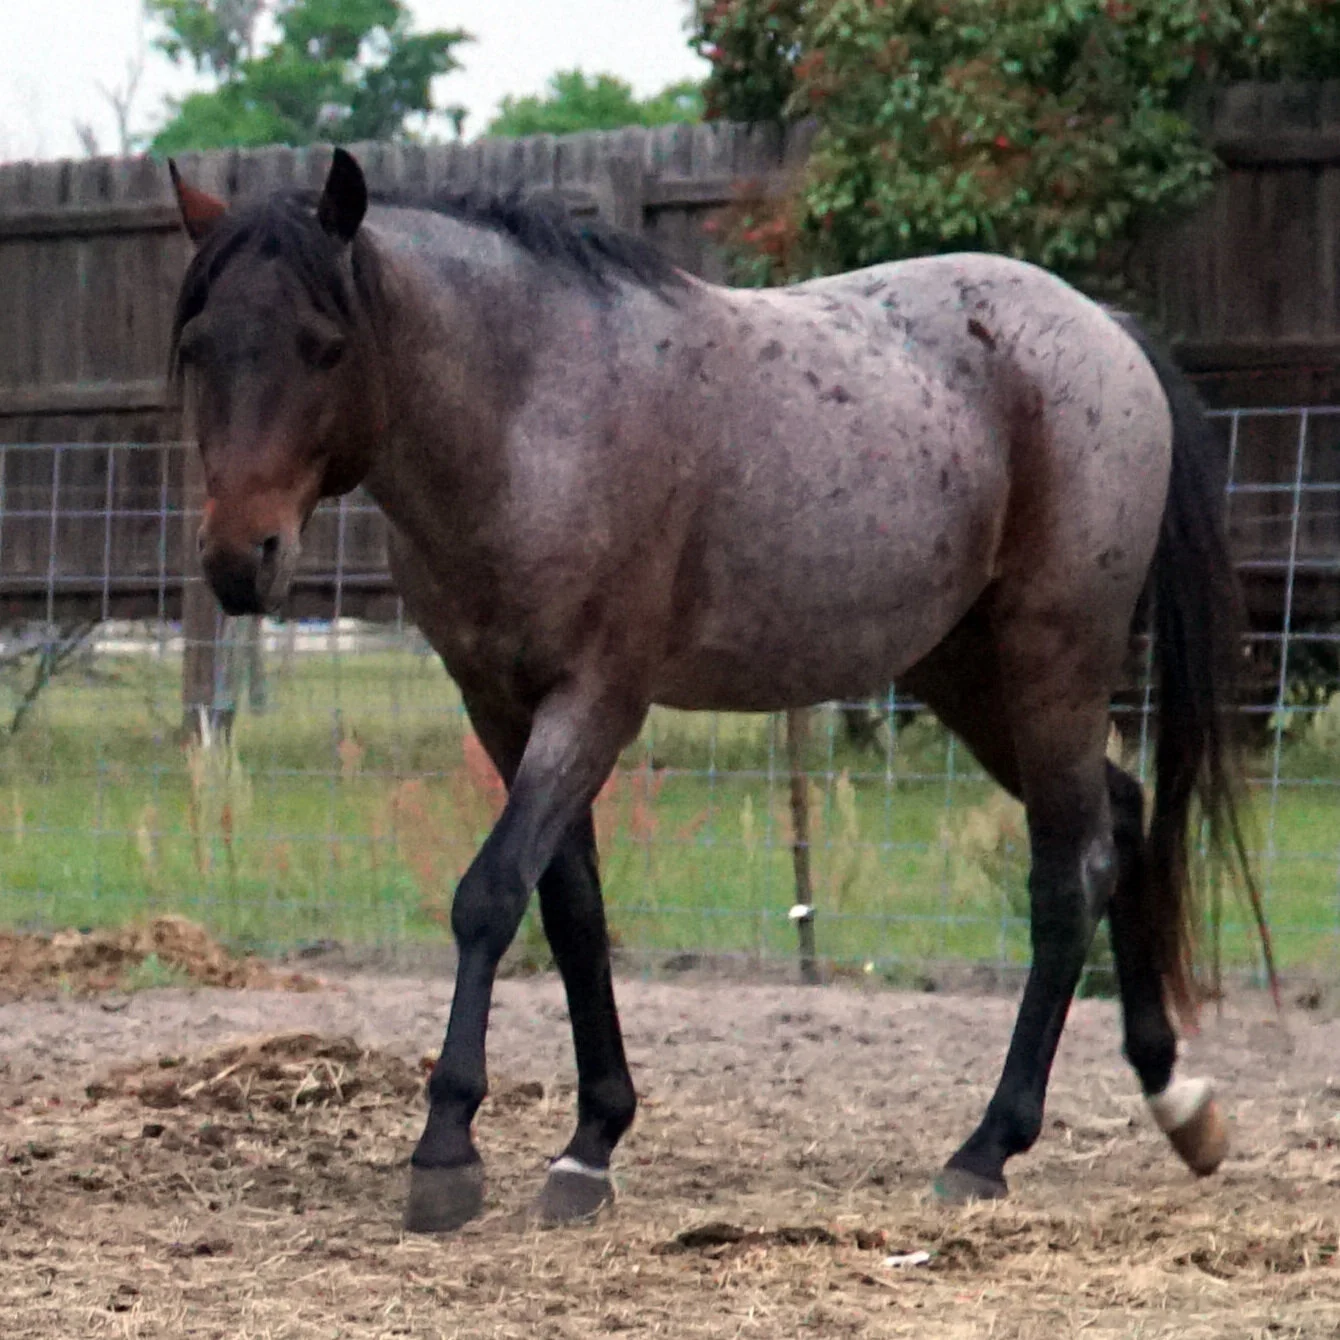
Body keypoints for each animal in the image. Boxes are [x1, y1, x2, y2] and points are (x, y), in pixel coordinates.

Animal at [167, 147, 1268, 1233]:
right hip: (965, 674)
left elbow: (490, 895)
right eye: (201, 346)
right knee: (1119, 817)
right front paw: (591, 1141)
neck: (533, 409)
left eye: (324, 346)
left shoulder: (596, 699)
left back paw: (987, 1146)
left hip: (1050, 664)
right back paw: (1176, 1099)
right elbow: (570, 908)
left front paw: (447, 1148)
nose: (237, 557)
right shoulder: (501, 705)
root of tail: (1106, 331)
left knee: (1068, 873)